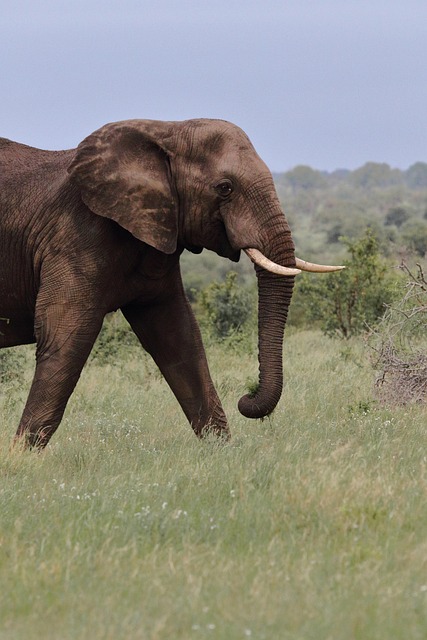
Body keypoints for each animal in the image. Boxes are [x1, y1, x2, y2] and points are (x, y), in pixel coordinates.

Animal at [0, 118, 342, 448]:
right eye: (225, 188)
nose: (246, 398)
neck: (165, 130)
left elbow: (178, 336)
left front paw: (222, 454)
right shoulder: (75, 236)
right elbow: (65, 333)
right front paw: (22, 458)